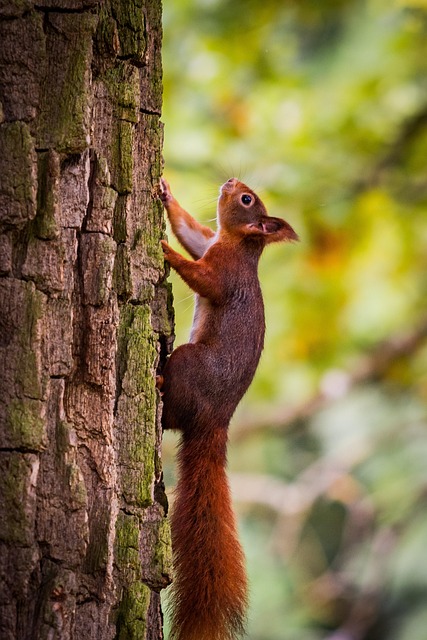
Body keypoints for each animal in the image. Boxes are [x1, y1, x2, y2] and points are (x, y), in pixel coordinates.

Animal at [159, 177, 298, 640]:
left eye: (246, 200)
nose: (231, 182)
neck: (239, 242)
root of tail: (216, 421)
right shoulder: (209, 242)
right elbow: (191, 233)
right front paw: (165, 192)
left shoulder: (223, 270)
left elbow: (204, 279)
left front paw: (165, 252)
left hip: (188, 364)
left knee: (171, 415)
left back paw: (159, 385)